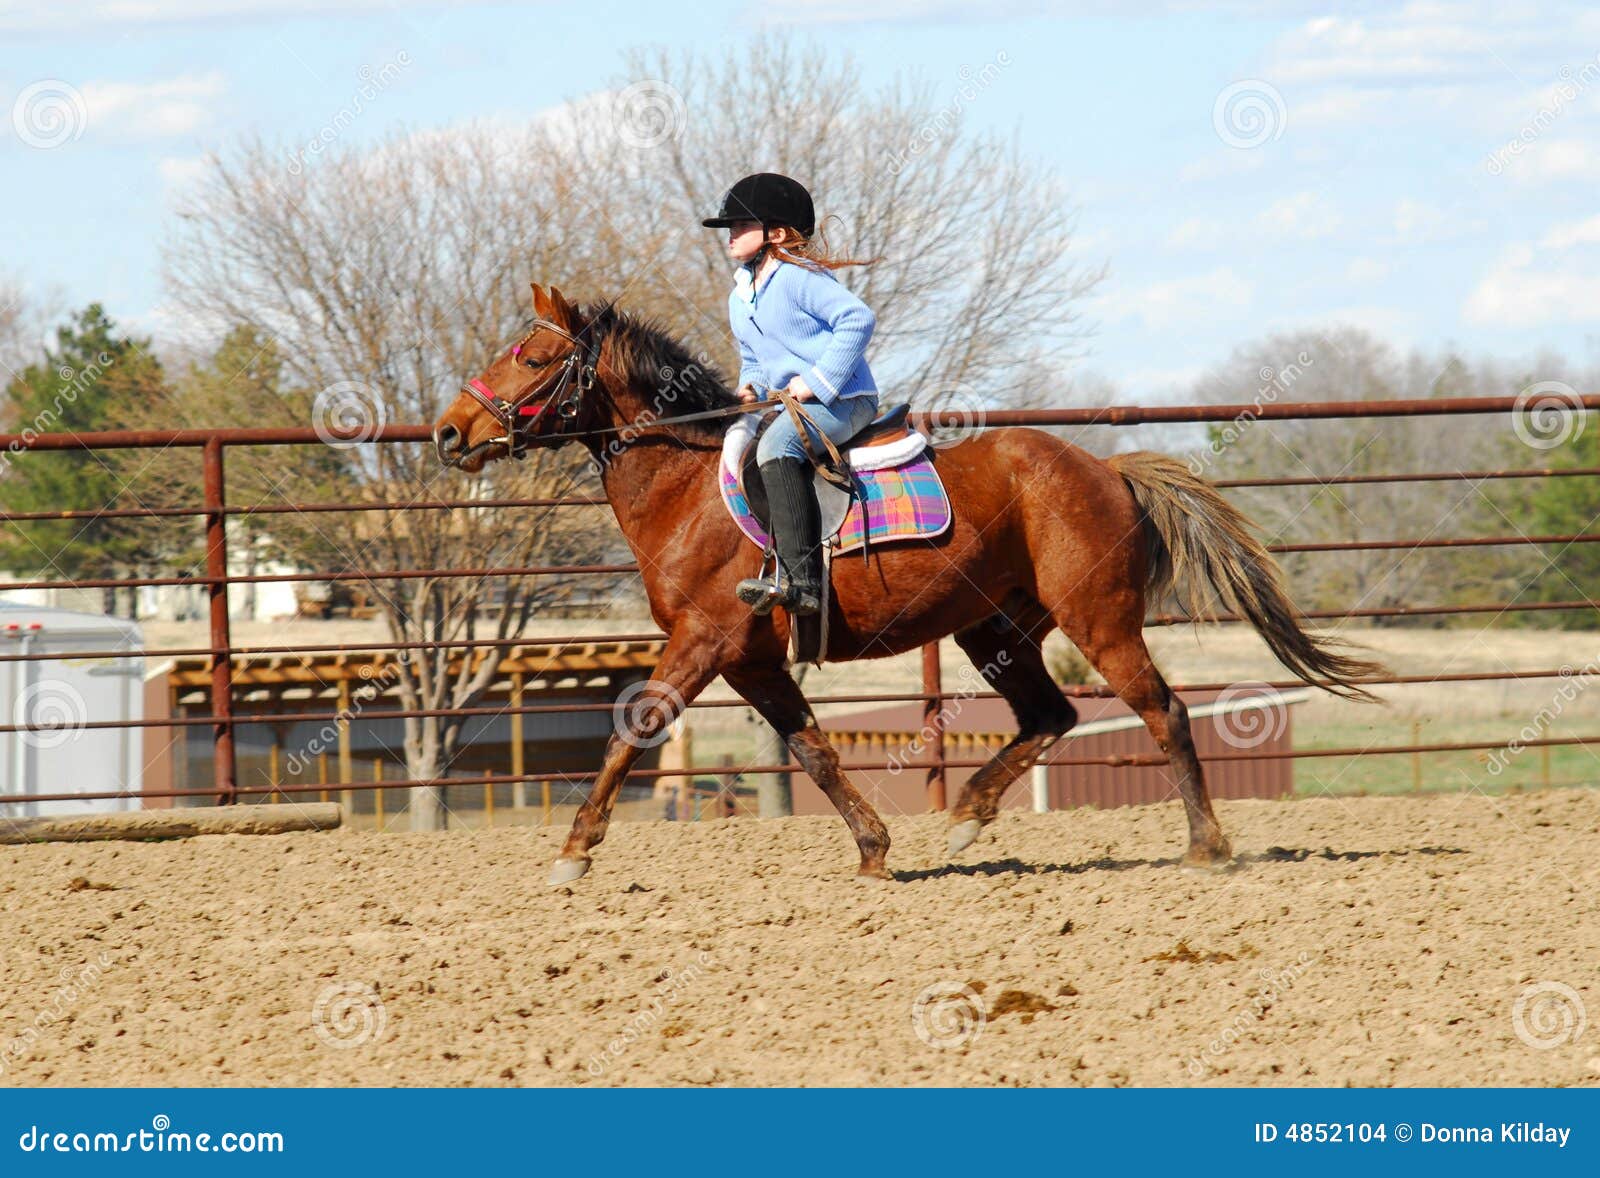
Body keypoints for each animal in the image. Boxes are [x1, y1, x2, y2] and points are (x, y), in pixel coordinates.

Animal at [432, 284, 1383, 885]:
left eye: (529, 355)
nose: (449, 431)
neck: (687, 483)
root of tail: (1104, 468)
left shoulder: (706, 642)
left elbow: (631, 730)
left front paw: (574, 851)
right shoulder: (752, 660)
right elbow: (814, 750)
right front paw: (873, 848)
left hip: (1100, 621)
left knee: (1165, 712)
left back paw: (1206, 846)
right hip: (996, 630)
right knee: (1051, 714)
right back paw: (966, 816)